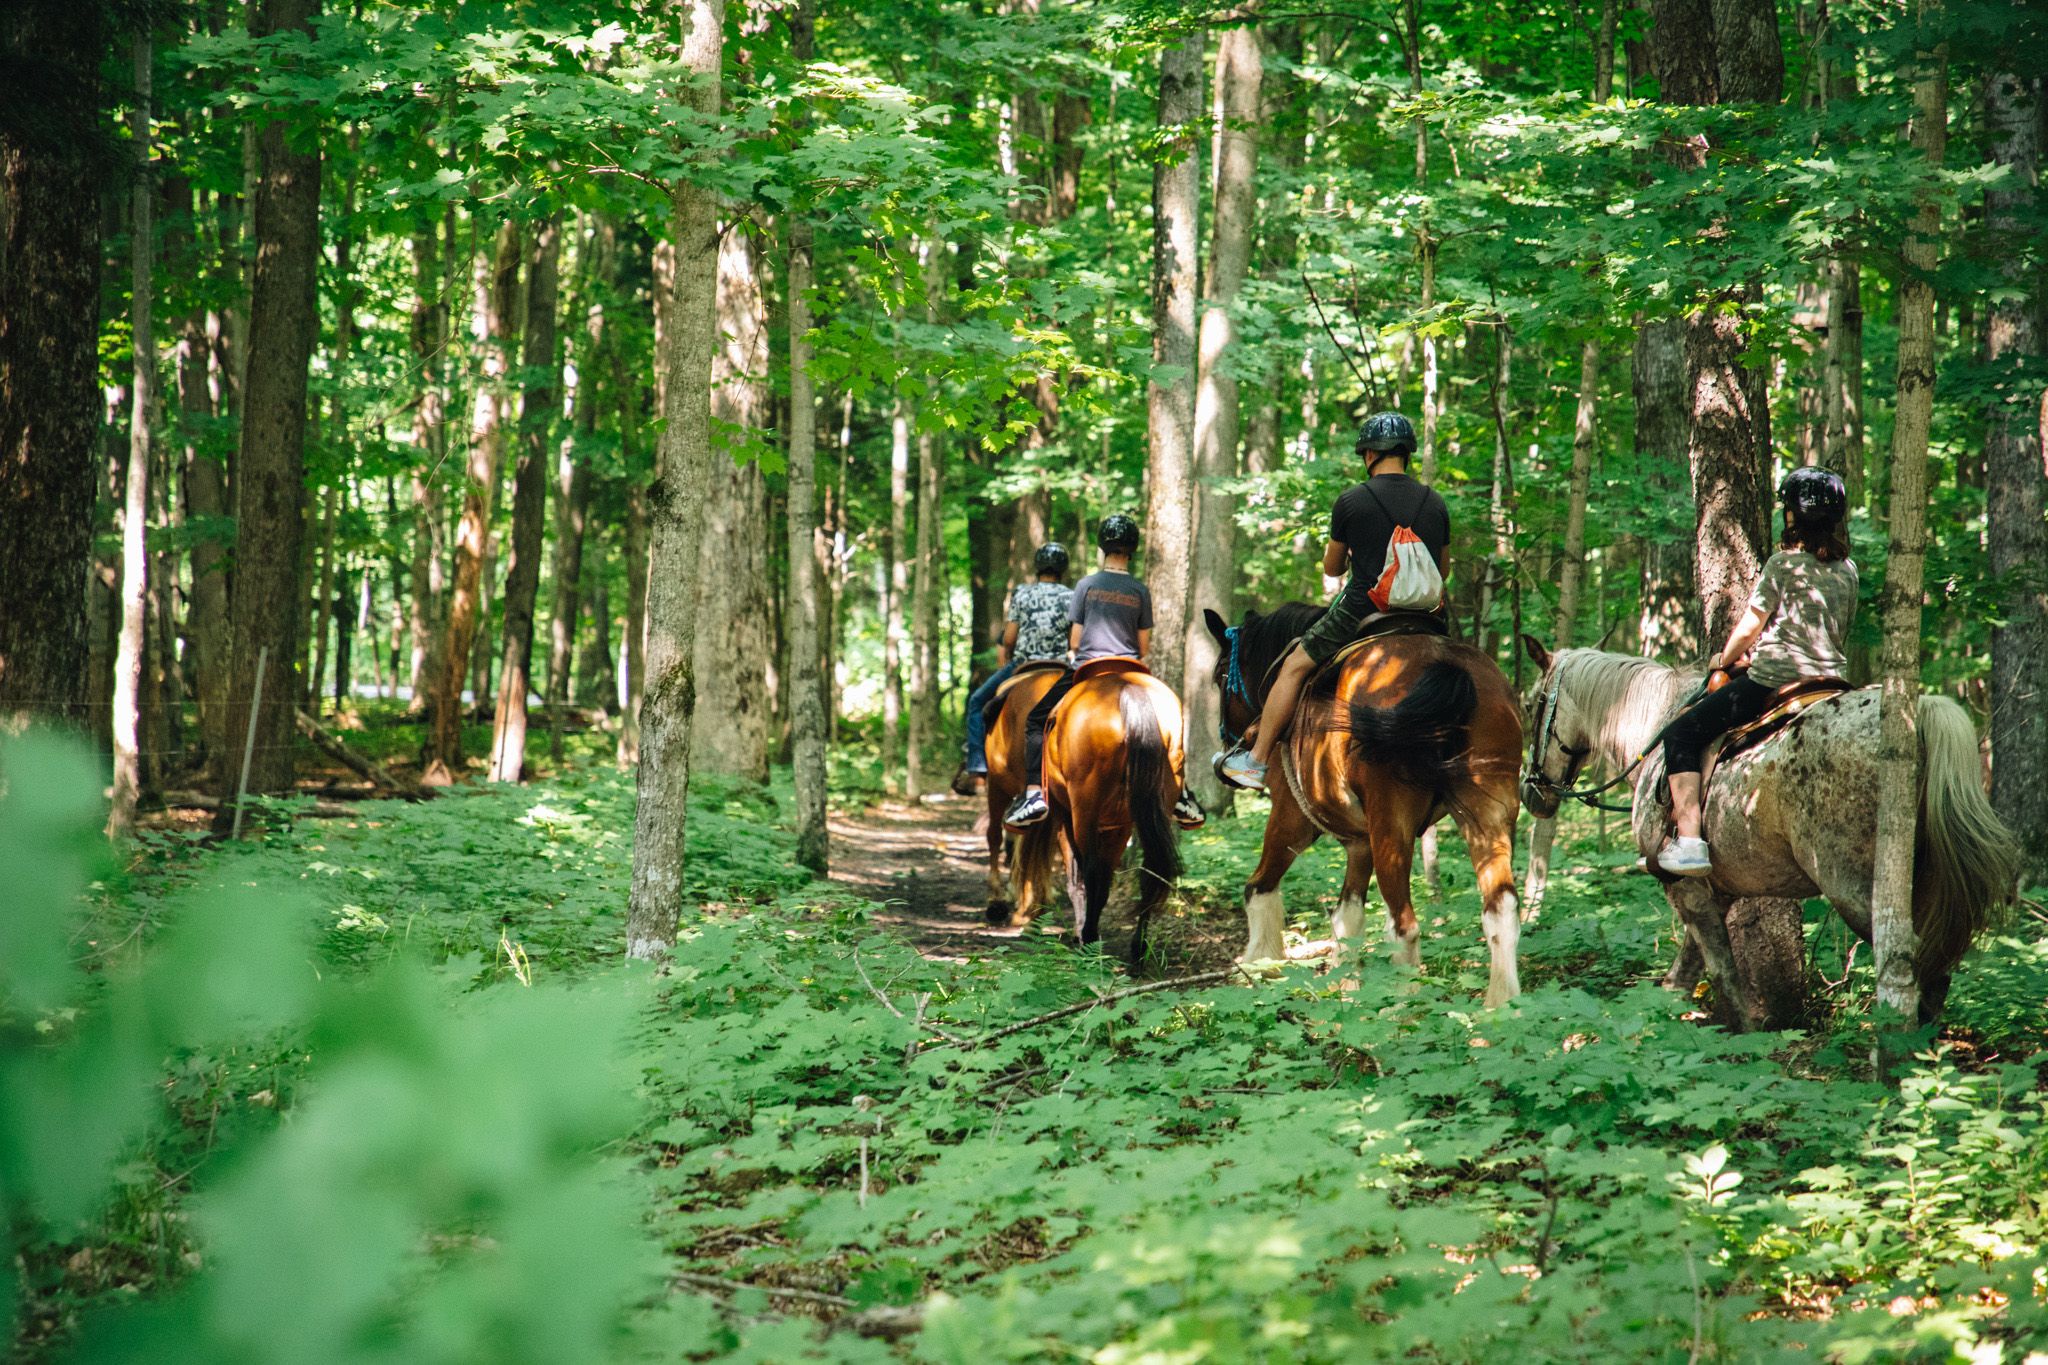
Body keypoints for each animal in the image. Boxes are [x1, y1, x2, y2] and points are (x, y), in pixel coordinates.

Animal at [1010, 661, 1188, 965]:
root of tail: (1128, 688)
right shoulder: (1118, 824)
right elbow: (1105, 877)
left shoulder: (1066, 817)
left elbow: (1078, 876)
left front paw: (1082, 933)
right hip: (1157, 798)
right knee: (1150, 871)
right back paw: (1138, 950)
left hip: (1085, 806)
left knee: (1090, 872)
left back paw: (1090, 941)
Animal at [1203, 605, 1527, 1006]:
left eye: (1220, 676)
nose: (1229, 741)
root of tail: (1449, 668)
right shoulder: (1360, 843)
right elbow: (1349, 915)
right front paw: (1347, 990)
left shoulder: (1290, 818)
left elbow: (1259, 888)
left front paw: (1261, 967)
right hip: (1487, 811)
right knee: (1502, 910)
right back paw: (1502, 1006)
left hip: (1392, 820)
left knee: (1405, 925)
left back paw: (1402, 1009)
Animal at [1518, 640, 2021, 1029]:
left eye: (1533, 705)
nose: (1531, 792)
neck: (1655, 730)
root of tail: (1919, 715)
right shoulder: (1716, 891)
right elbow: (1685, 972)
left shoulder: (1683, 886)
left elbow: (1721, 970)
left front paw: (1745, 1035)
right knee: (1940, 966)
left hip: (1855, 887)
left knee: (1908, 960)